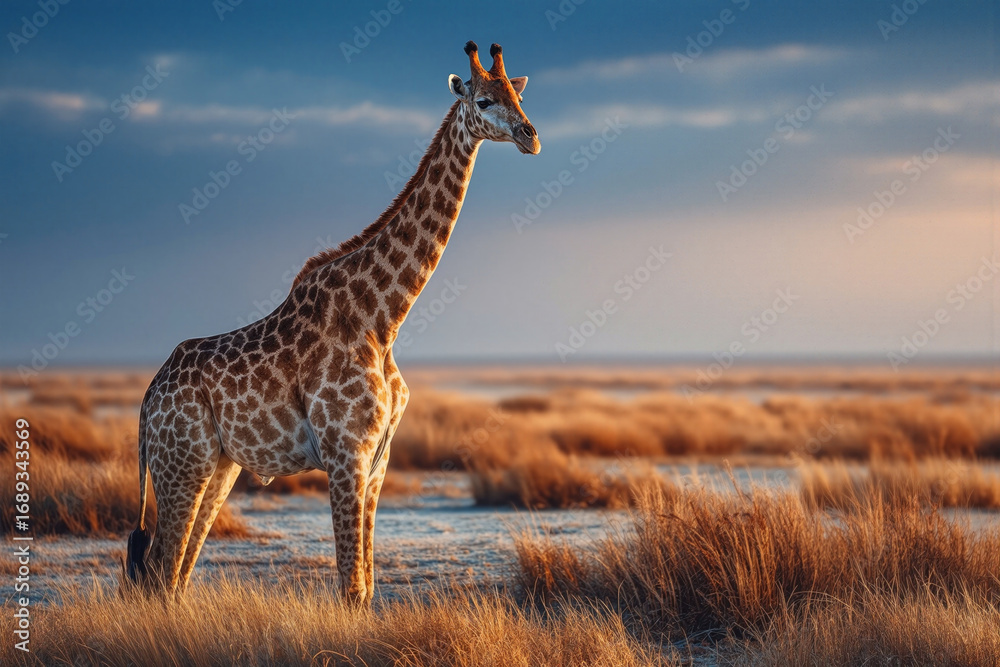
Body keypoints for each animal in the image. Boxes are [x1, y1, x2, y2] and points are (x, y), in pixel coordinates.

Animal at [125, 41, 540, 606]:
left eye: (518, 96)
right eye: (483, 100)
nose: (530, 136)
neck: (384, 318)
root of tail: (147, 403)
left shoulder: (378, 458)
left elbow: (366, 584)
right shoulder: (346, 451)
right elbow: (351, 584)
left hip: (217, 466)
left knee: (172, 573)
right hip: (180, 464)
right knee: (161, 569)